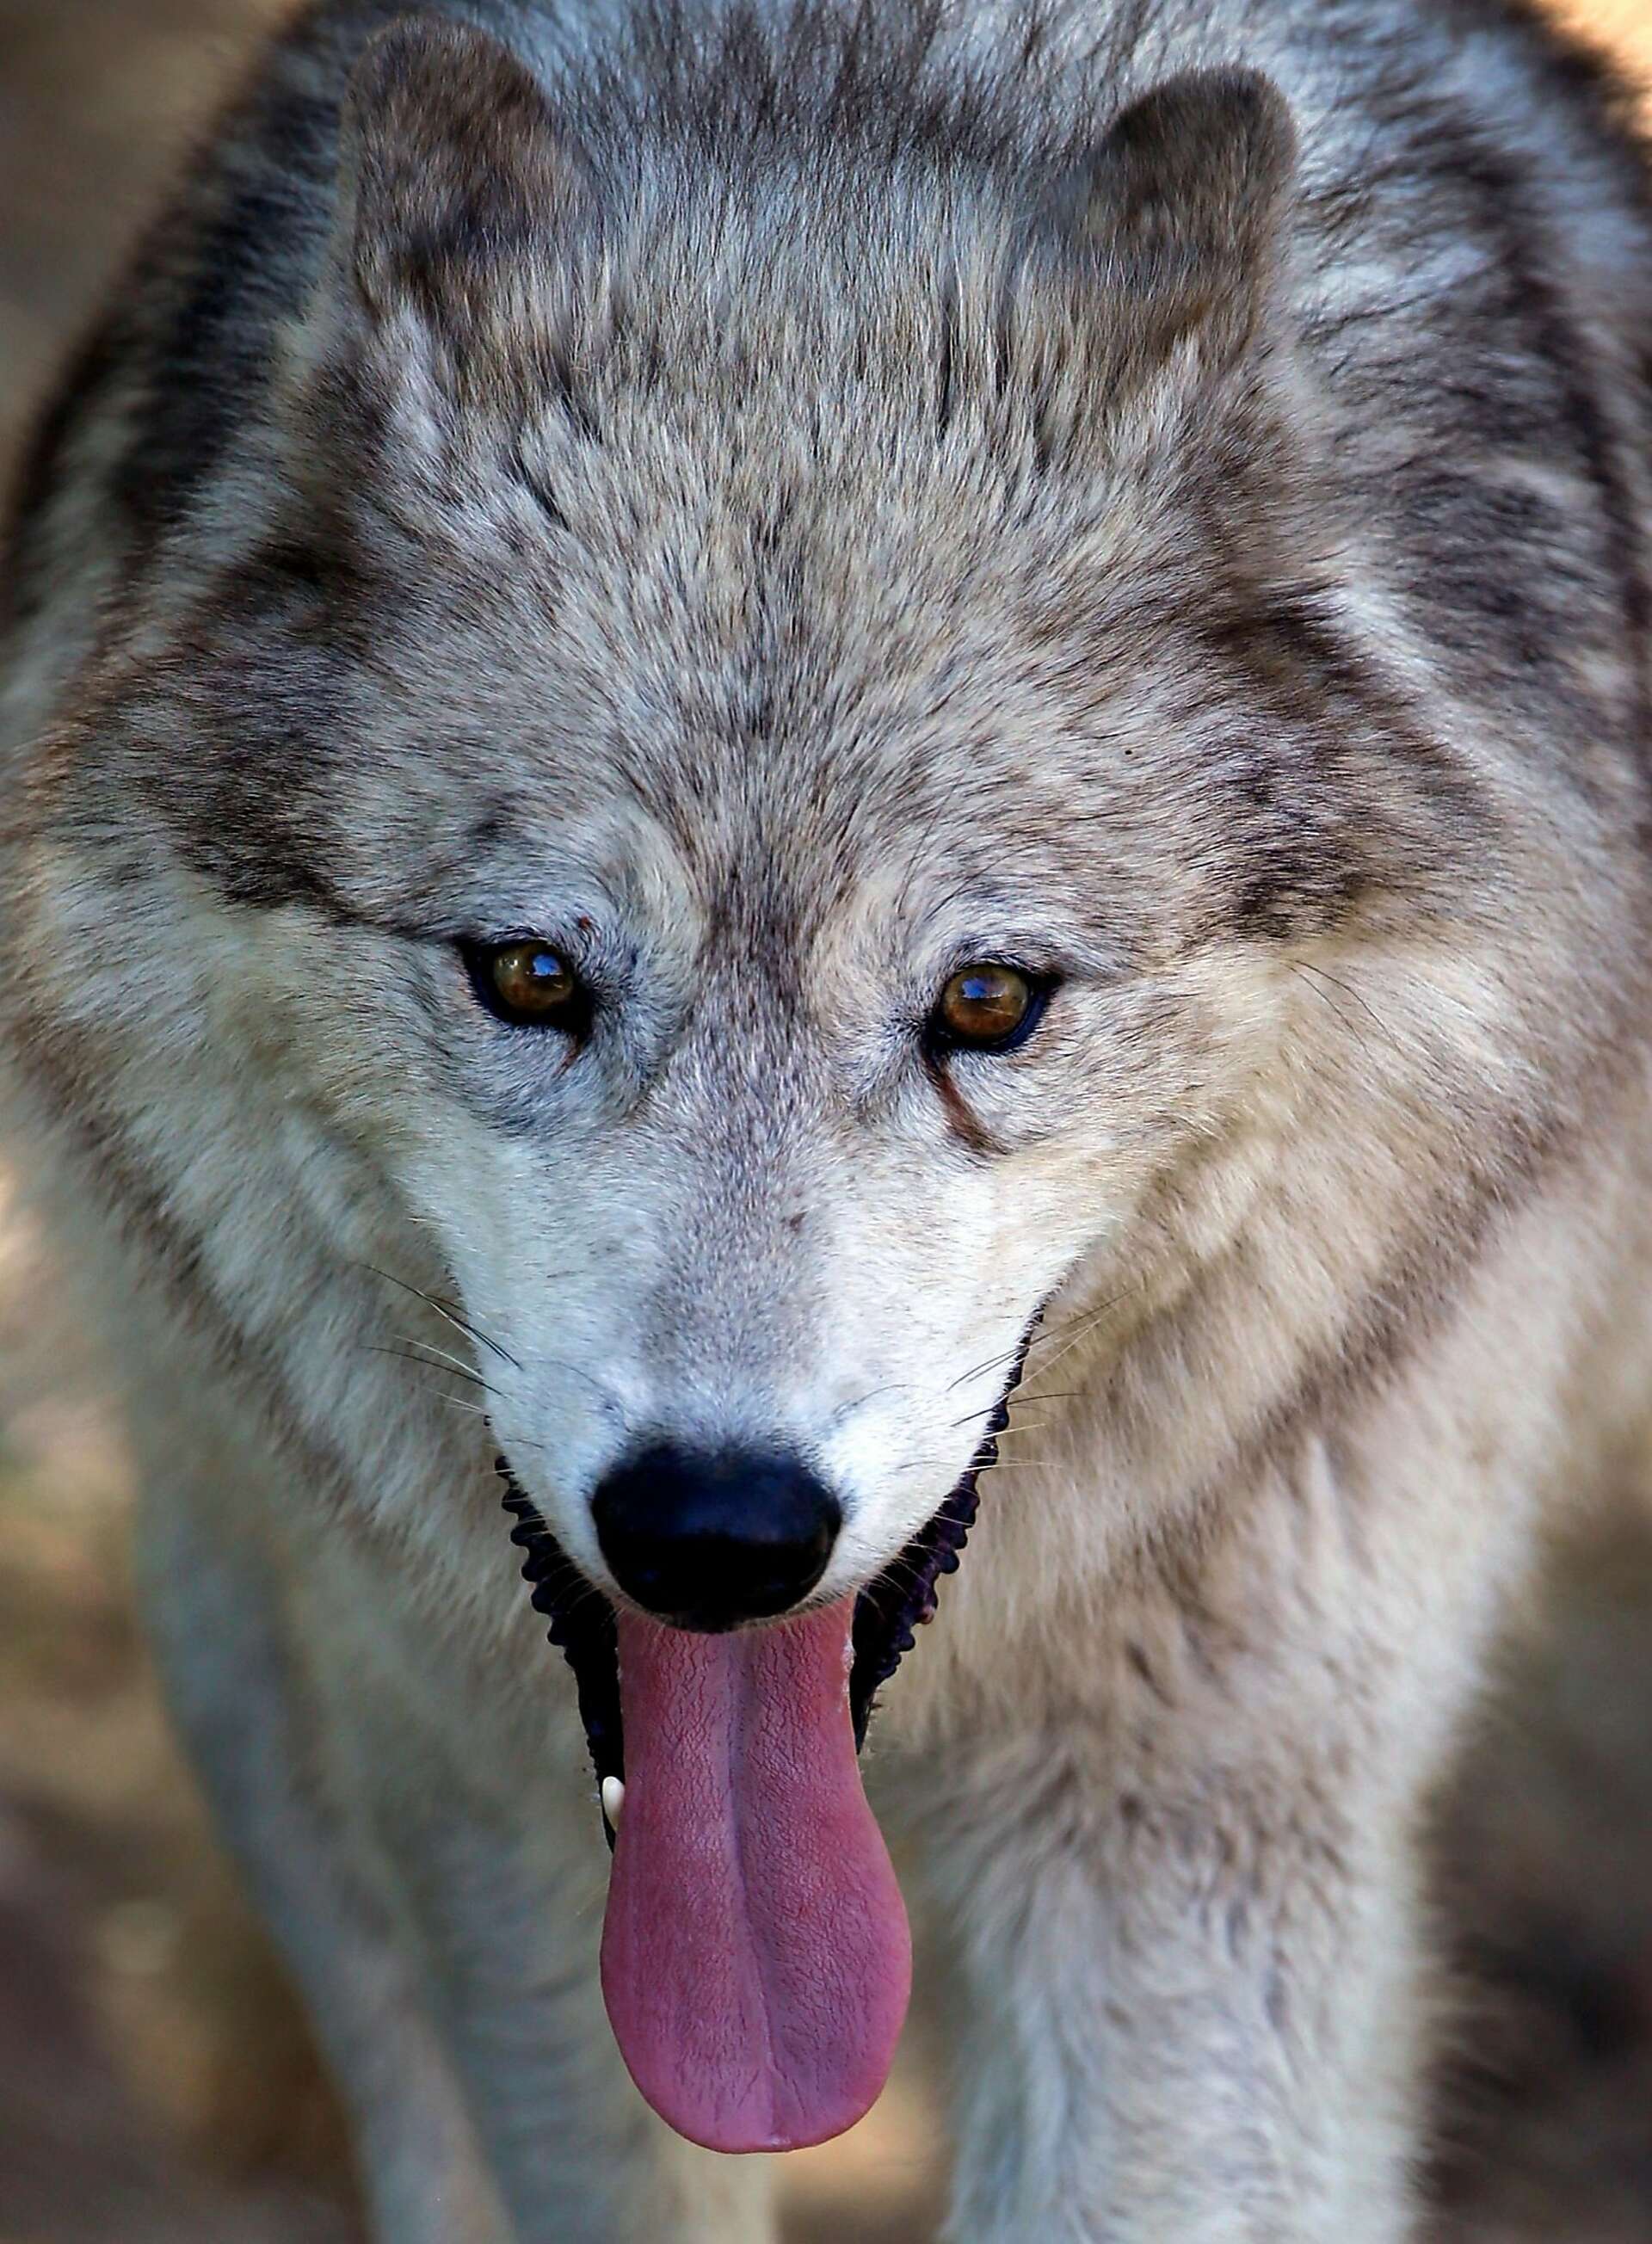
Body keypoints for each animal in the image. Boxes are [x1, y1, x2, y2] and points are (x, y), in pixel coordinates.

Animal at [4, 0, 1652, 2234]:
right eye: (534, 974)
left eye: (987, 1001)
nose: (717, 1530)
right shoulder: (484, 1801)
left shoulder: (1196, 1825)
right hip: (250, 1637)